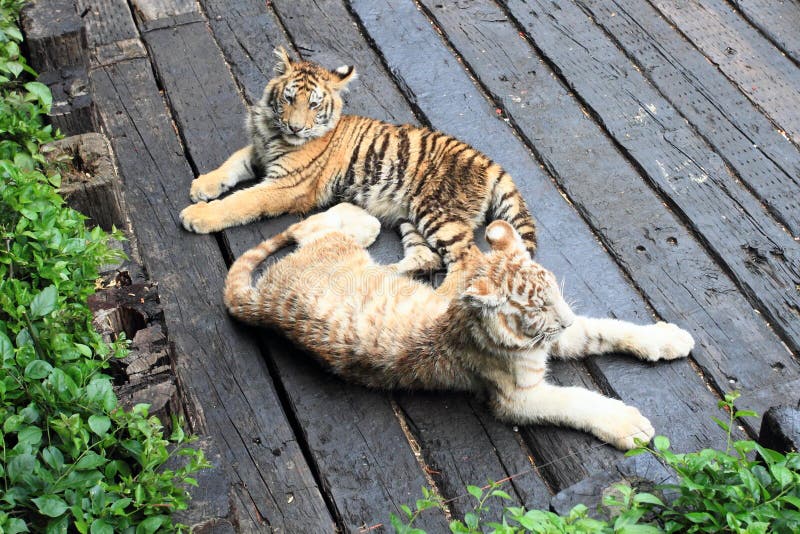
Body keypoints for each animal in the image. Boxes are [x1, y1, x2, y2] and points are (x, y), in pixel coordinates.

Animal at [179, 47, 537, 274]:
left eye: (313, 105)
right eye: (289, 98)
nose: (296, 126)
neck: (275, 132)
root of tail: (490, 162)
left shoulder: (286, 184)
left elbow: (240, 202)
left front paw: (197, 216)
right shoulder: (258, 151)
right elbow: (231, 164)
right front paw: (201, 186)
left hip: (438, 214)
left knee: (468, 262)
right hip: (412, 219)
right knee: (427, 258)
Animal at [223, 203, 695, 450]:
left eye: (554, 291)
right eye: (535, 308)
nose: (562, 319)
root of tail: (260, 301)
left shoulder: (558, 338)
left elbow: (609, 328)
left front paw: (669, 338)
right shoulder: (517, 397)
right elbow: (577, 401)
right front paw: (629, 426)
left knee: (311, 227)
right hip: (333, 251)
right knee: (308, 225)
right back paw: (361, 216)